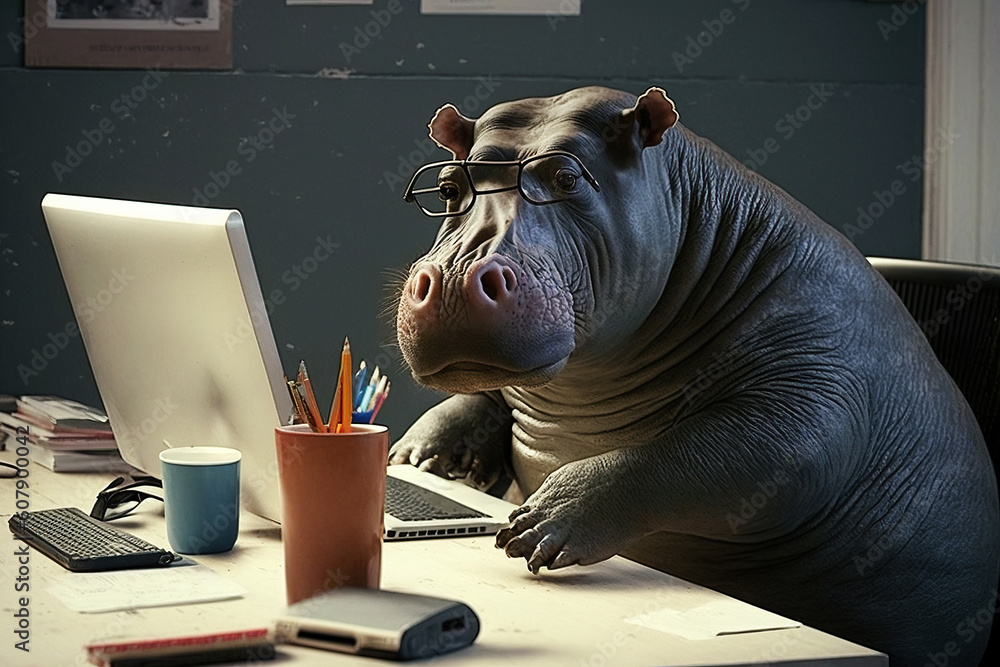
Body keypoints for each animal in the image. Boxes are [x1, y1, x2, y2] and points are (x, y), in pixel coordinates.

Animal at [389, 86, 1000, 665]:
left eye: (566, 177)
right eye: (448, 187)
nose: (452, 279)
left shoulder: (809, 392)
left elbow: (689, 457)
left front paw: (537, 524)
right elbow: (475, 401)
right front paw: (420, 458)